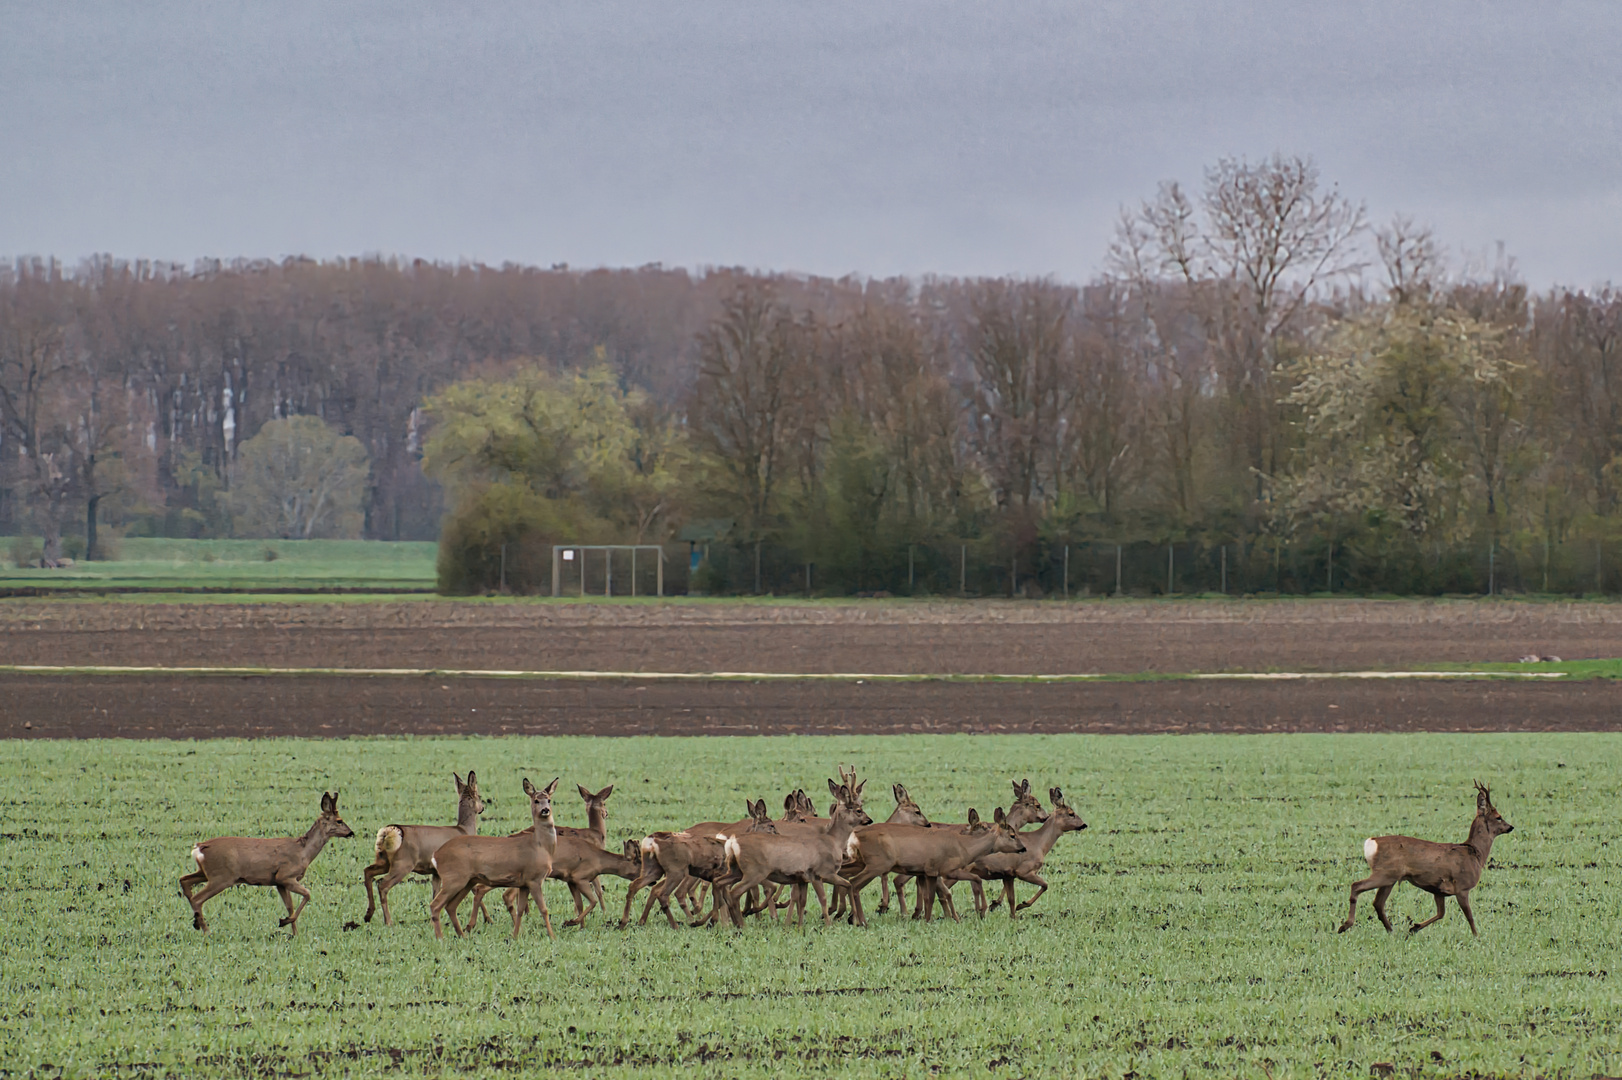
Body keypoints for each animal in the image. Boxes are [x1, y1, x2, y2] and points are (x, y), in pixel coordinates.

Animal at [179, 788, 353, 927]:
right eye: (339, 821)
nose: (351, 832)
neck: (303, 852)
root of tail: (200, 847)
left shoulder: (279, 882)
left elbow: (290, 907)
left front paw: (293, 933)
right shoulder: (286, 875)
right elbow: (307, 894)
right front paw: (284, 922)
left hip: (206, 873)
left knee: (184, 881)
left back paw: (197, 923)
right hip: (222, 876)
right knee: (197, 898)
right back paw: (205, 931)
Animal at [368, 765, 486, 927]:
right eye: (479, 795)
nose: (482, 808)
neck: (464, 829)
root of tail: (390, 830)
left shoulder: (436, 873)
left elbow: (435, 895)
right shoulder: (461, 867)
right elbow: (475, 890)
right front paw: (488, 919)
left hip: (383, 860)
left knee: (368, 872)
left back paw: (368, 915)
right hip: (403, 863)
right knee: (382, 885)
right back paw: (388, 921)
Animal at [428, 775, 561, 934]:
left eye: (549, 800)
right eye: (536, 800)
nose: (545, 810)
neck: (541, 846)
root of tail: (436, 855)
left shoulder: (524, 883)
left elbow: (520, 910)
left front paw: (516, 936)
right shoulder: (535, 878)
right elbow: (544, 909)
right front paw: (552, 936)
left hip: (467, 881)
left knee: (450, 906)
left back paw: (462, 934)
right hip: (453, 878)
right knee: (435, 905)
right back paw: (441, 937)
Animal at [843, 797, 1018, 927]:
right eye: (1012, 835)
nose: (1022, 848)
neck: (963, 846)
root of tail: (855, 835)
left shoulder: (928, 872)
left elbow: (931, 896)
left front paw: (932, 919)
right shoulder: (946, 870)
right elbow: (962, 886)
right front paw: (979, 912)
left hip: (859, 862)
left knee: (845, 878)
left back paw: (853, 918)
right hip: (877, 865)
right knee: (855, 883)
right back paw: (862, 921)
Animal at [1336, 775, 1511, 934]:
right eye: (1498, 817)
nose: (1511, 827)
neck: (1475, 853)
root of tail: (1371, 842)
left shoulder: (1438, 890)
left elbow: (1441, 914)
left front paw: (1414, 927)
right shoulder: (1462, 886)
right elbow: (1470, 917)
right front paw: (1477, 937)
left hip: (1390, 878)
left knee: (1378, 903)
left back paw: (1391, 930)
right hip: (1385, 873)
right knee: (1356, 886)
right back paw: (1345, 926)